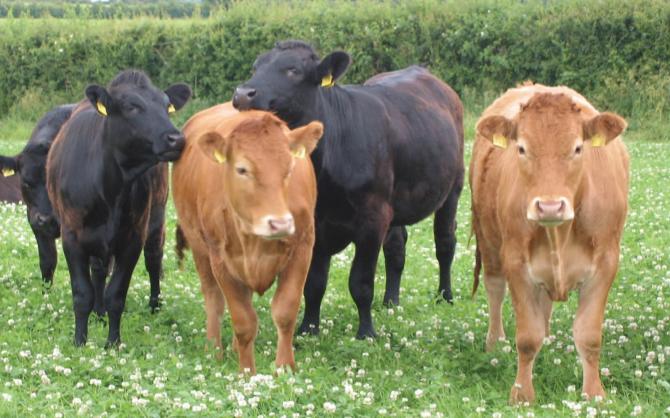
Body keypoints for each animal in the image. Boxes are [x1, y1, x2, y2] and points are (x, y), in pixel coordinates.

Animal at [46, 70, 191, 347]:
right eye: (131, 106)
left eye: (166, 106)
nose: (176, 139)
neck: (110, 187)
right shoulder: (72, 237)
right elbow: (82, 293)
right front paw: (80, 340)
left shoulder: (132, 238)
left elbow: (116, 294)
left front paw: (113, 343)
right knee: (99, 270)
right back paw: (98, 312)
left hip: (156, 217)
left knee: (153, 258)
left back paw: (154, 305)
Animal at [172, 104, 323, 373]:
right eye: (242, 169)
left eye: (289, 169)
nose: (280, 223)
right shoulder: (221, 260)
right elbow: (243, 321)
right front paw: (247, 373)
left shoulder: (303, 248)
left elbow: (285, 312)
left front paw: (285, 368)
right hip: (200, 250)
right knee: (214, 300)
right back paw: (214, 350)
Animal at [233, 40, 464, 339]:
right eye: (256, 66)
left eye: (293, 70)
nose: (243, 94)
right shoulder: (314, 223)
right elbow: (314, 283)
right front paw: (308, 328)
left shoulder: (372, 219)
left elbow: (361, 282)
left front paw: (366, 332)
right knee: (396, 248)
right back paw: (390, 302)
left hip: (453, 188)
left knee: (445, 243)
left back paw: (444, 296)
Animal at [470, 83, 629, 403]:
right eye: (521, 148)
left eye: (578, 148)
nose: (550, 207)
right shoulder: (516, 262)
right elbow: (527, 337)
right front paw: (522, 394)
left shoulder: (606, 263)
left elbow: (589, 335)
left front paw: (594, 393)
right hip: (488, 240)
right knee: (495, 289)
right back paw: (495, 342)